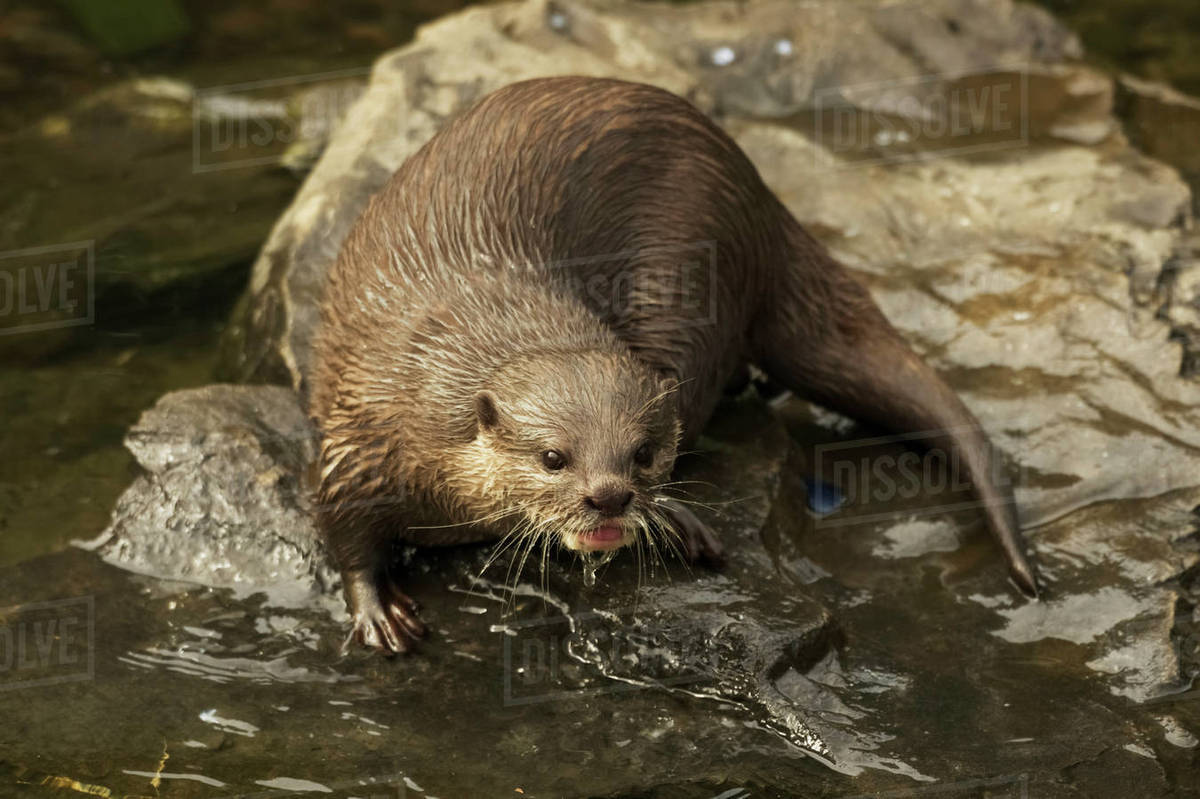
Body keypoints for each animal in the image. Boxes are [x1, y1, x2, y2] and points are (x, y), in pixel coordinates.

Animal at [309, 76, 1038, 654]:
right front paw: (378, 612)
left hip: (690, 272)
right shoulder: (365, 435)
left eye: (642, 453)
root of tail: (758, 194)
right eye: (553, 457)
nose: (608, 495)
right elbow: (340, 522)